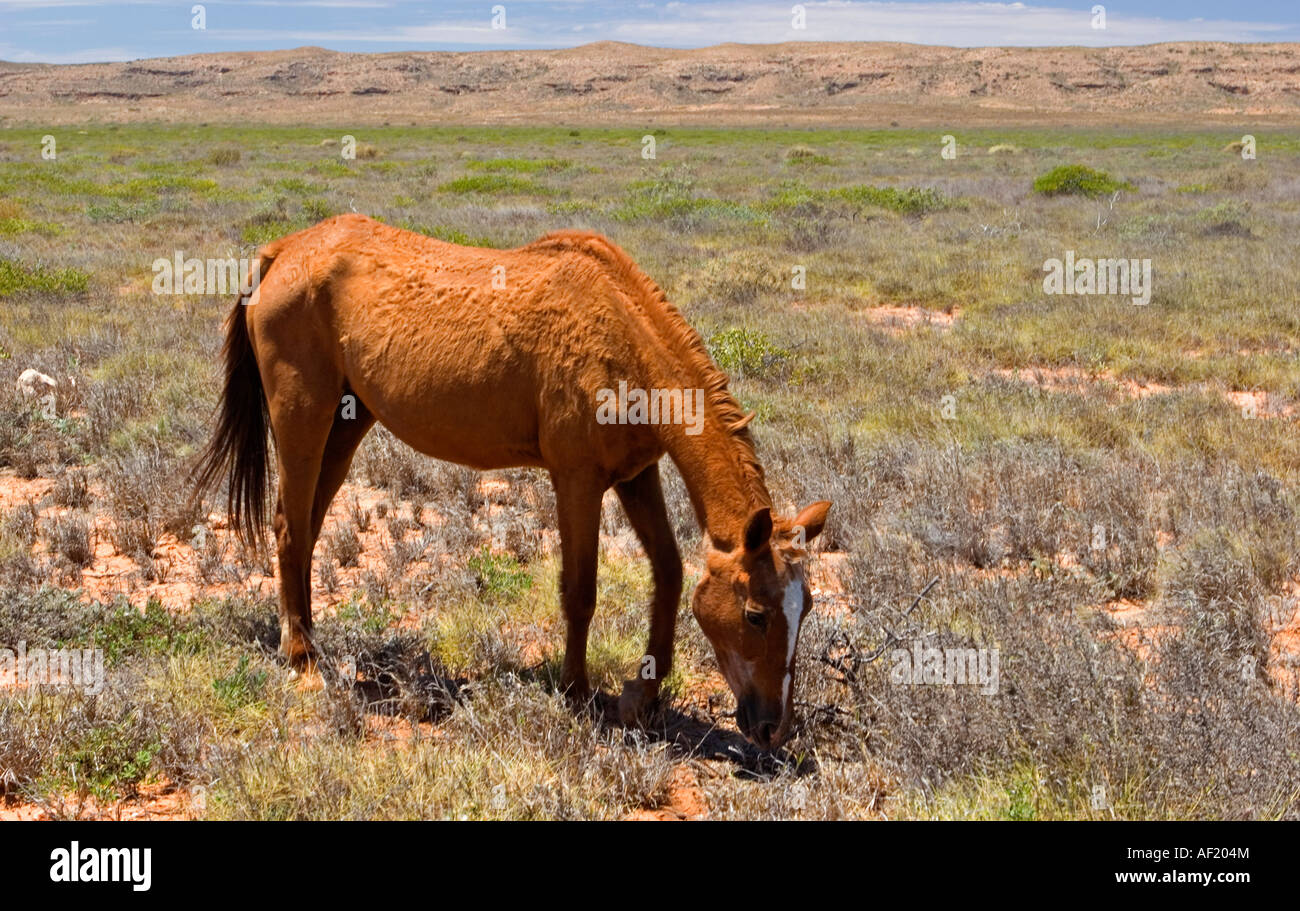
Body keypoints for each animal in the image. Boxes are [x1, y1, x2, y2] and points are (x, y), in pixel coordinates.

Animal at [192, 214, 831, 750]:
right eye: (756, 615)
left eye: (806, 610)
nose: (773, 728)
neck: (620, 338)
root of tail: (283, 251)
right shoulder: (577, 480)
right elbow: (580, 591)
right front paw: (576, 692)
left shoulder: (636, 474)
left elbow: (669, 573)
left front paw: (641, 695)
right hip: (303, 415)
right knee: (289, 526)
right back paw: (301, 658)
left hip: (348, 423)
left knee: (306, 526)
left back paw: (310, 641)